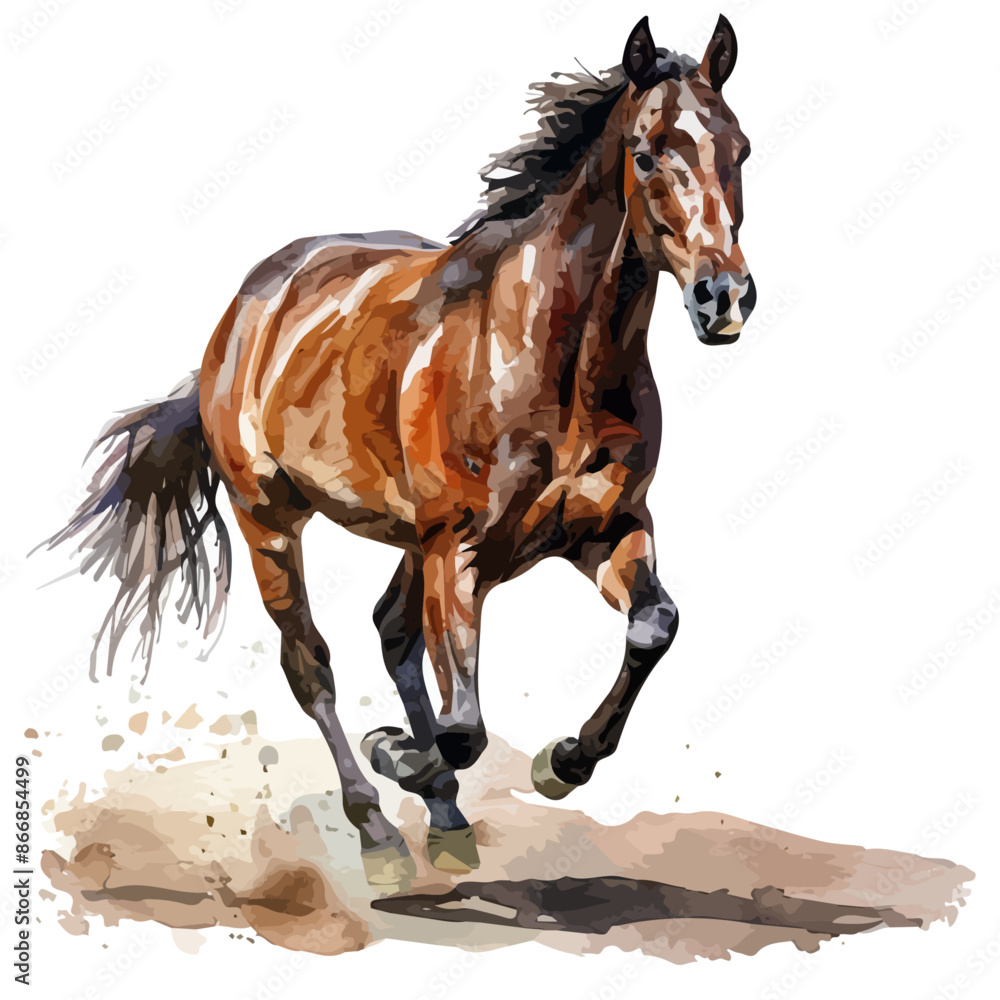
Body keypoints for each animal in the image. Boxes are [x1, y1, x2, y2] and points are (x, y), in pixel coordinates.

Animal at [47, 15, 754, 884]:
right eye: (649, 152)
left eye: (741, 149)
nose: (725, 298)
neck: (553, 365)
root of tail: (244, 310)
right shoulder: (462, 550)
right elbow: (461, 727)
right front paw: (400, 754)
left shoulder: (605, 529)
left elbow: (655, 626)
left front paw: (562, 761)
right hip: (270, 519)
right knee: (312, 665)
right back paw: (378, 827)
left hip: (411, 540)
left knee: (390, 631)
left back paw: (445, 820)